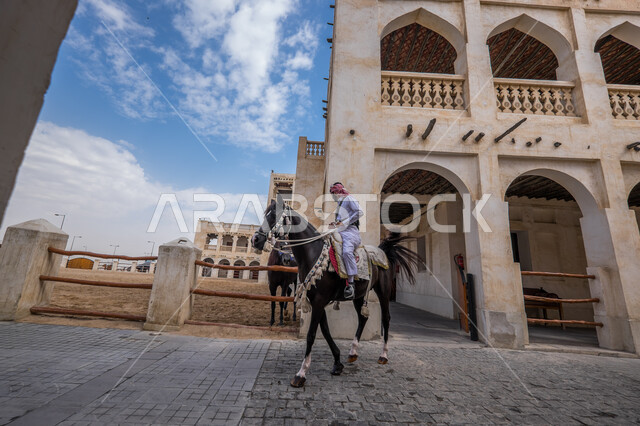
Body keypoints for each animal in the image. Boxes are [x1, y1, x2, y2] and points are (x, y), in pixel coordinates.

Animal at [251, 200, 420, 388]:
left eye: (273, 215)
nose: (255, 239)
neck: (313, 253)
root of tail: (382, 251)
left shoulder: (319, 301)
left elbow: (311, 335)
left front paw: (301, 373)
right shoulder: (317, 301)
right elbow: (325, 331)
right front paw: (337, 363)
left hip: (383, 292)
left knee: (386, 319)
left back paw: (383, 355)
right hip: (358, 296)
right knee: (363, 319)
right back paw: (353, 352)